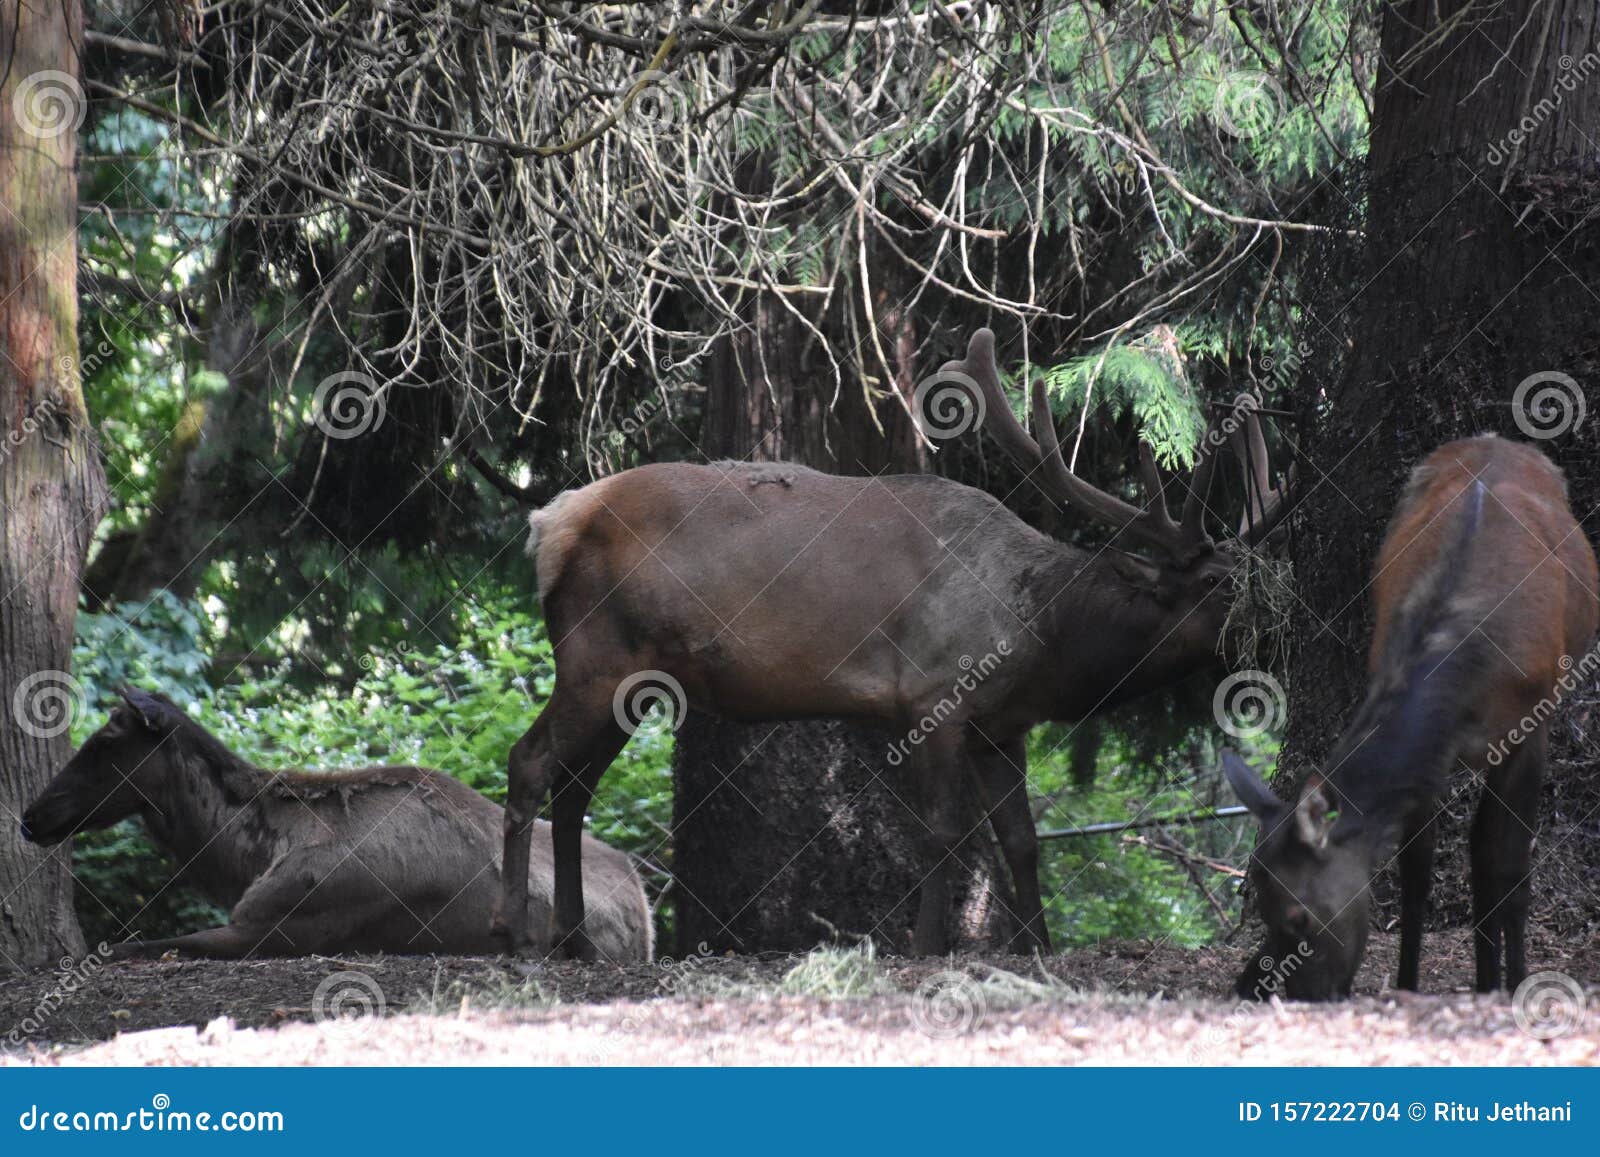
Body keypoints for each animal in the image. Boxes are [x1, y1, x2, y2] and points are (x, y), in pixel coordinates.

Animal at [20, 689, 653, 961]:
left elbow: (127, 948)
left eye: (102, 744)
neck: (255, 854)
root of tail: (645, 907)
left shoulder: (279, 926)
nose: (31, 816)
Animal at [495, 328, 1290, 960]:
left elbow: (1021, 838)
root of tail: (548, 522)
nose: (1284, 626)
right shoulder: (933, 695)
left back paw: (574, 939)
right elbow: (942, 832)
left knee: (574, 787)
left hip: (635, 682)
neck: (1038, 633)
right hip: (595, 655)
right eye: (1218, 583)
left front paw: (1038, 945)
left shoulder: (1003, 727)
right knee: (530, 761)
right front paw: (926, 945)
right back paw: (515, 933)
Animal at [1223, 435, 1597, 1000]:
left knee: (1493, 851)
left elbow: (1510, 864)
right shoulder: (1433, 749)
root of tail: (1496, 438)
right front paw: (1407, 984)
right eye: (1261, 911)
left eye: (1299, 918)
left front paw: (1515, 985)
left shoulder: (1531, 725)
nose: (1268, 990)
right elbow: (1416, 869)